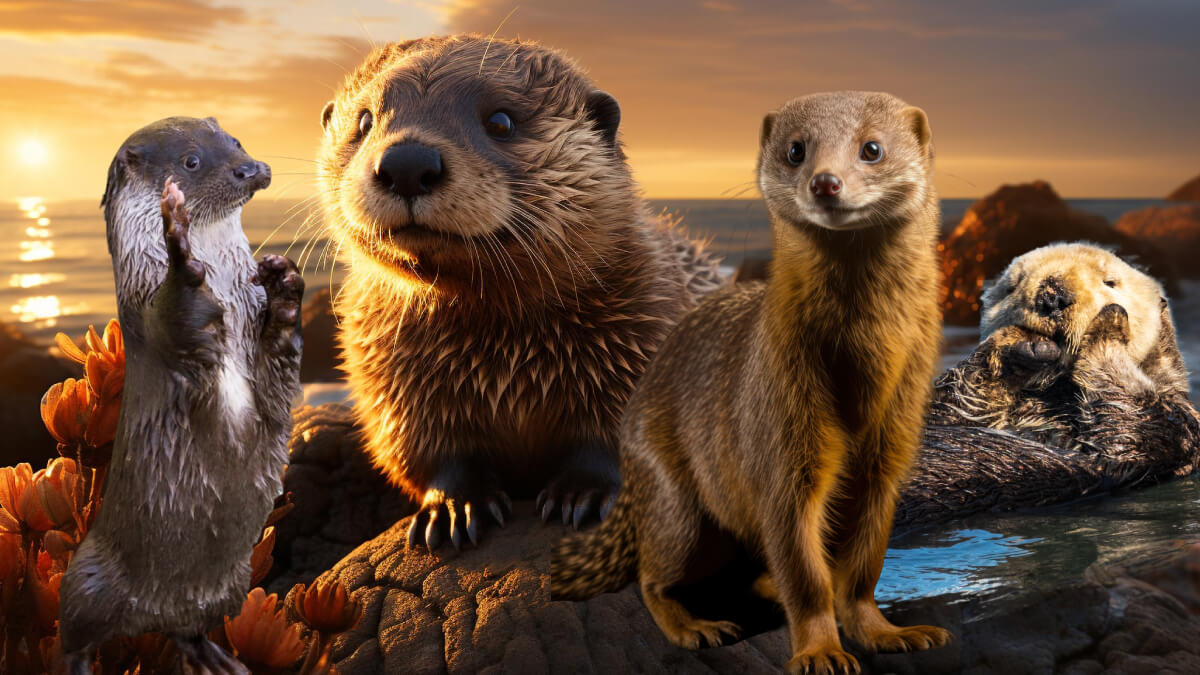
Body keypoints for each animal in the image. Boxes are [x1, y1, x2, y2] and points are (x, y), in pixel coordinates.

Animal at [59, 117, 303, 673]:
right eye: (191, 161)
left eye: (235, 141)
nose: (249, 168)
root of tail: (147, 615)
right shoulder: (161, 321)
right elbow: (178, 308)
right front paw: (180, 245)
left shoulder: (267, 363)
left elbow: (280, 350)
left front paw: (284, 280)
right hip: (84, 580)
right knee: (74, 637)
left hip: (231, 585)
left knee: (187, 633)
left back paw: (227, 662)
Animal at [318, 35, 722, 549]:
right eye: (365, 120)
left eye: (501, 120)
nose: (407, 163)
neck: (508, 358)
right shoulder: (391, 378)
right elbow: (427, 452)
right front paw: (454, 506)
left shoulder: (649, 335)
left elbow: (617, 442)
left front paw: (583, 494)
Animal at [552, 91, 951, 674]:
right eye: (796, 150)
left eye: (872, 148)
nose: (825, 181)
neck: (862, 376)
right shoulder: (776, 436)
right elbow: (803, 570)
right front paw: (821, 653)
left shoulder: (892, 450)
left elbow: (862, 569)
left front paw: (893, 633)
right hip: (671, 492)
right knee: (652, 574)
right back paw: (697, 626)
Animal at [930, 242, 1189, 443]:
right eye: (1012, 287)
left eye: (1110, 282)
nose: (1051, 297)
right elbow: (949, 405)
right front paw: (1022, 346)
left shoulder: (1174, 422)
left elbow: (1134, 416)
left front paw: (1110, 323)